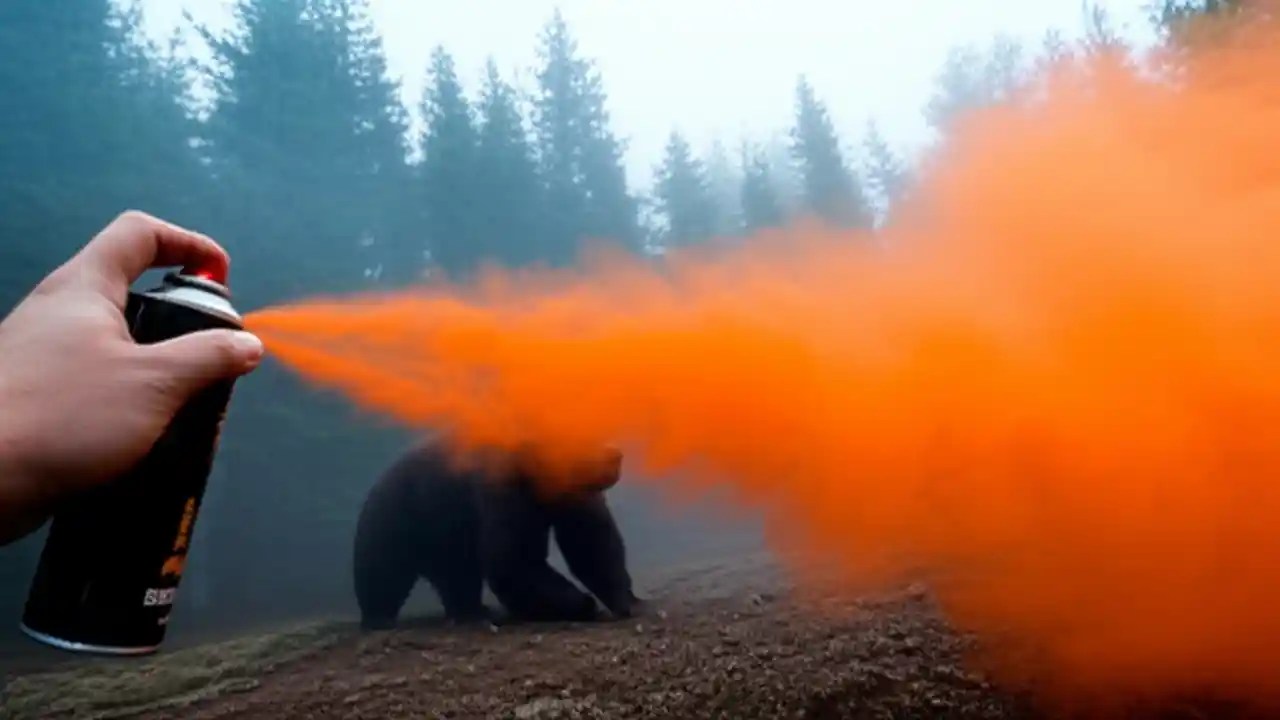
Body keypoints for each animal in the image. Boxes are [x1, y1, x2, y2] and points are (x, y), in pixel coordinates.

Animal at [351, 440, 636, 631]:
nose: (616, 455)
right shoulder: (503, 489)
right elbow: (513, 559)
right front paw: (582, 603)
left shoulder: (570, 494)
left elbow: (591, 542)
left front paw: (625, 601)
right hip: (398, 516)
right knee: (382, 570)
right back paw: (378, 618)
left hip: (443, 530)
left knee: (456, 574)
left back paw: (472, 611)